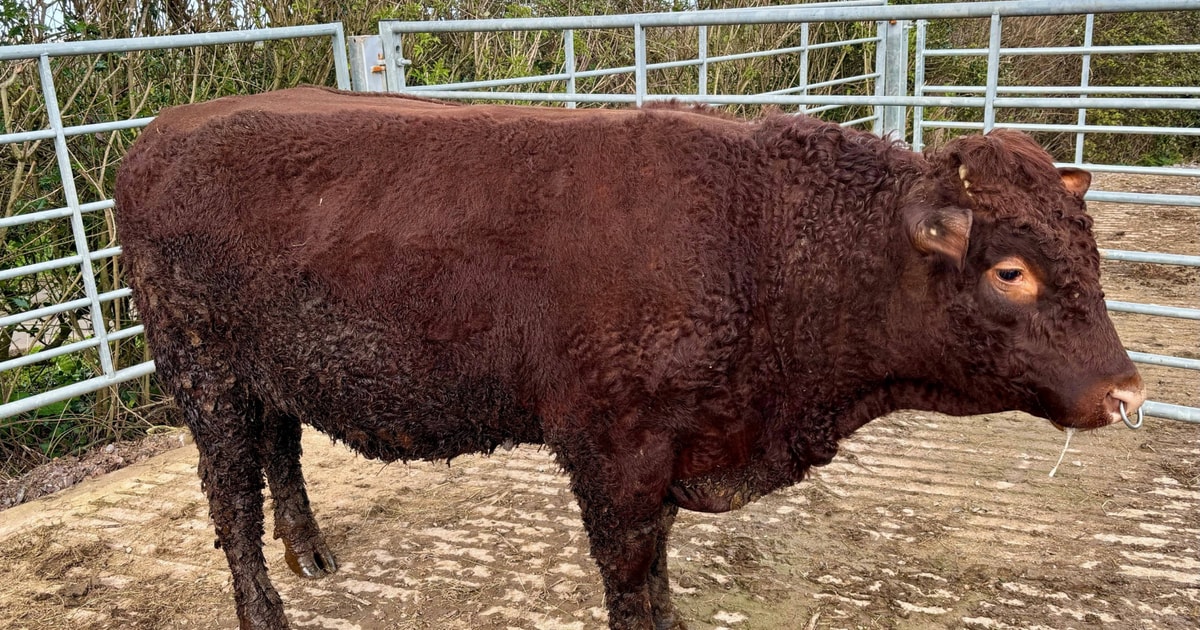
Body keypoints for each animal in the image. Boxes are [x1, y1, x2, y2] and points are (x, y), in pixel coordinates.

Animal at [113, 86, 1145, 629]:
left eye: (1094, 251)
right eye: (1010, 271)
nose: (1128, 393)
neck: (761, 238)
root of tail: (163, 130)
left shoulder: (671, 455)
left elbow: (658, 570)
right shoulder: (614, 452)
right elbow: (631, 576)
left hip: (270, 371)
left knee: (279, 454)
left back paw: (314, 555)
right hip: (203, 374)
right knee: (229, 498)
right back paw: (266, 607)